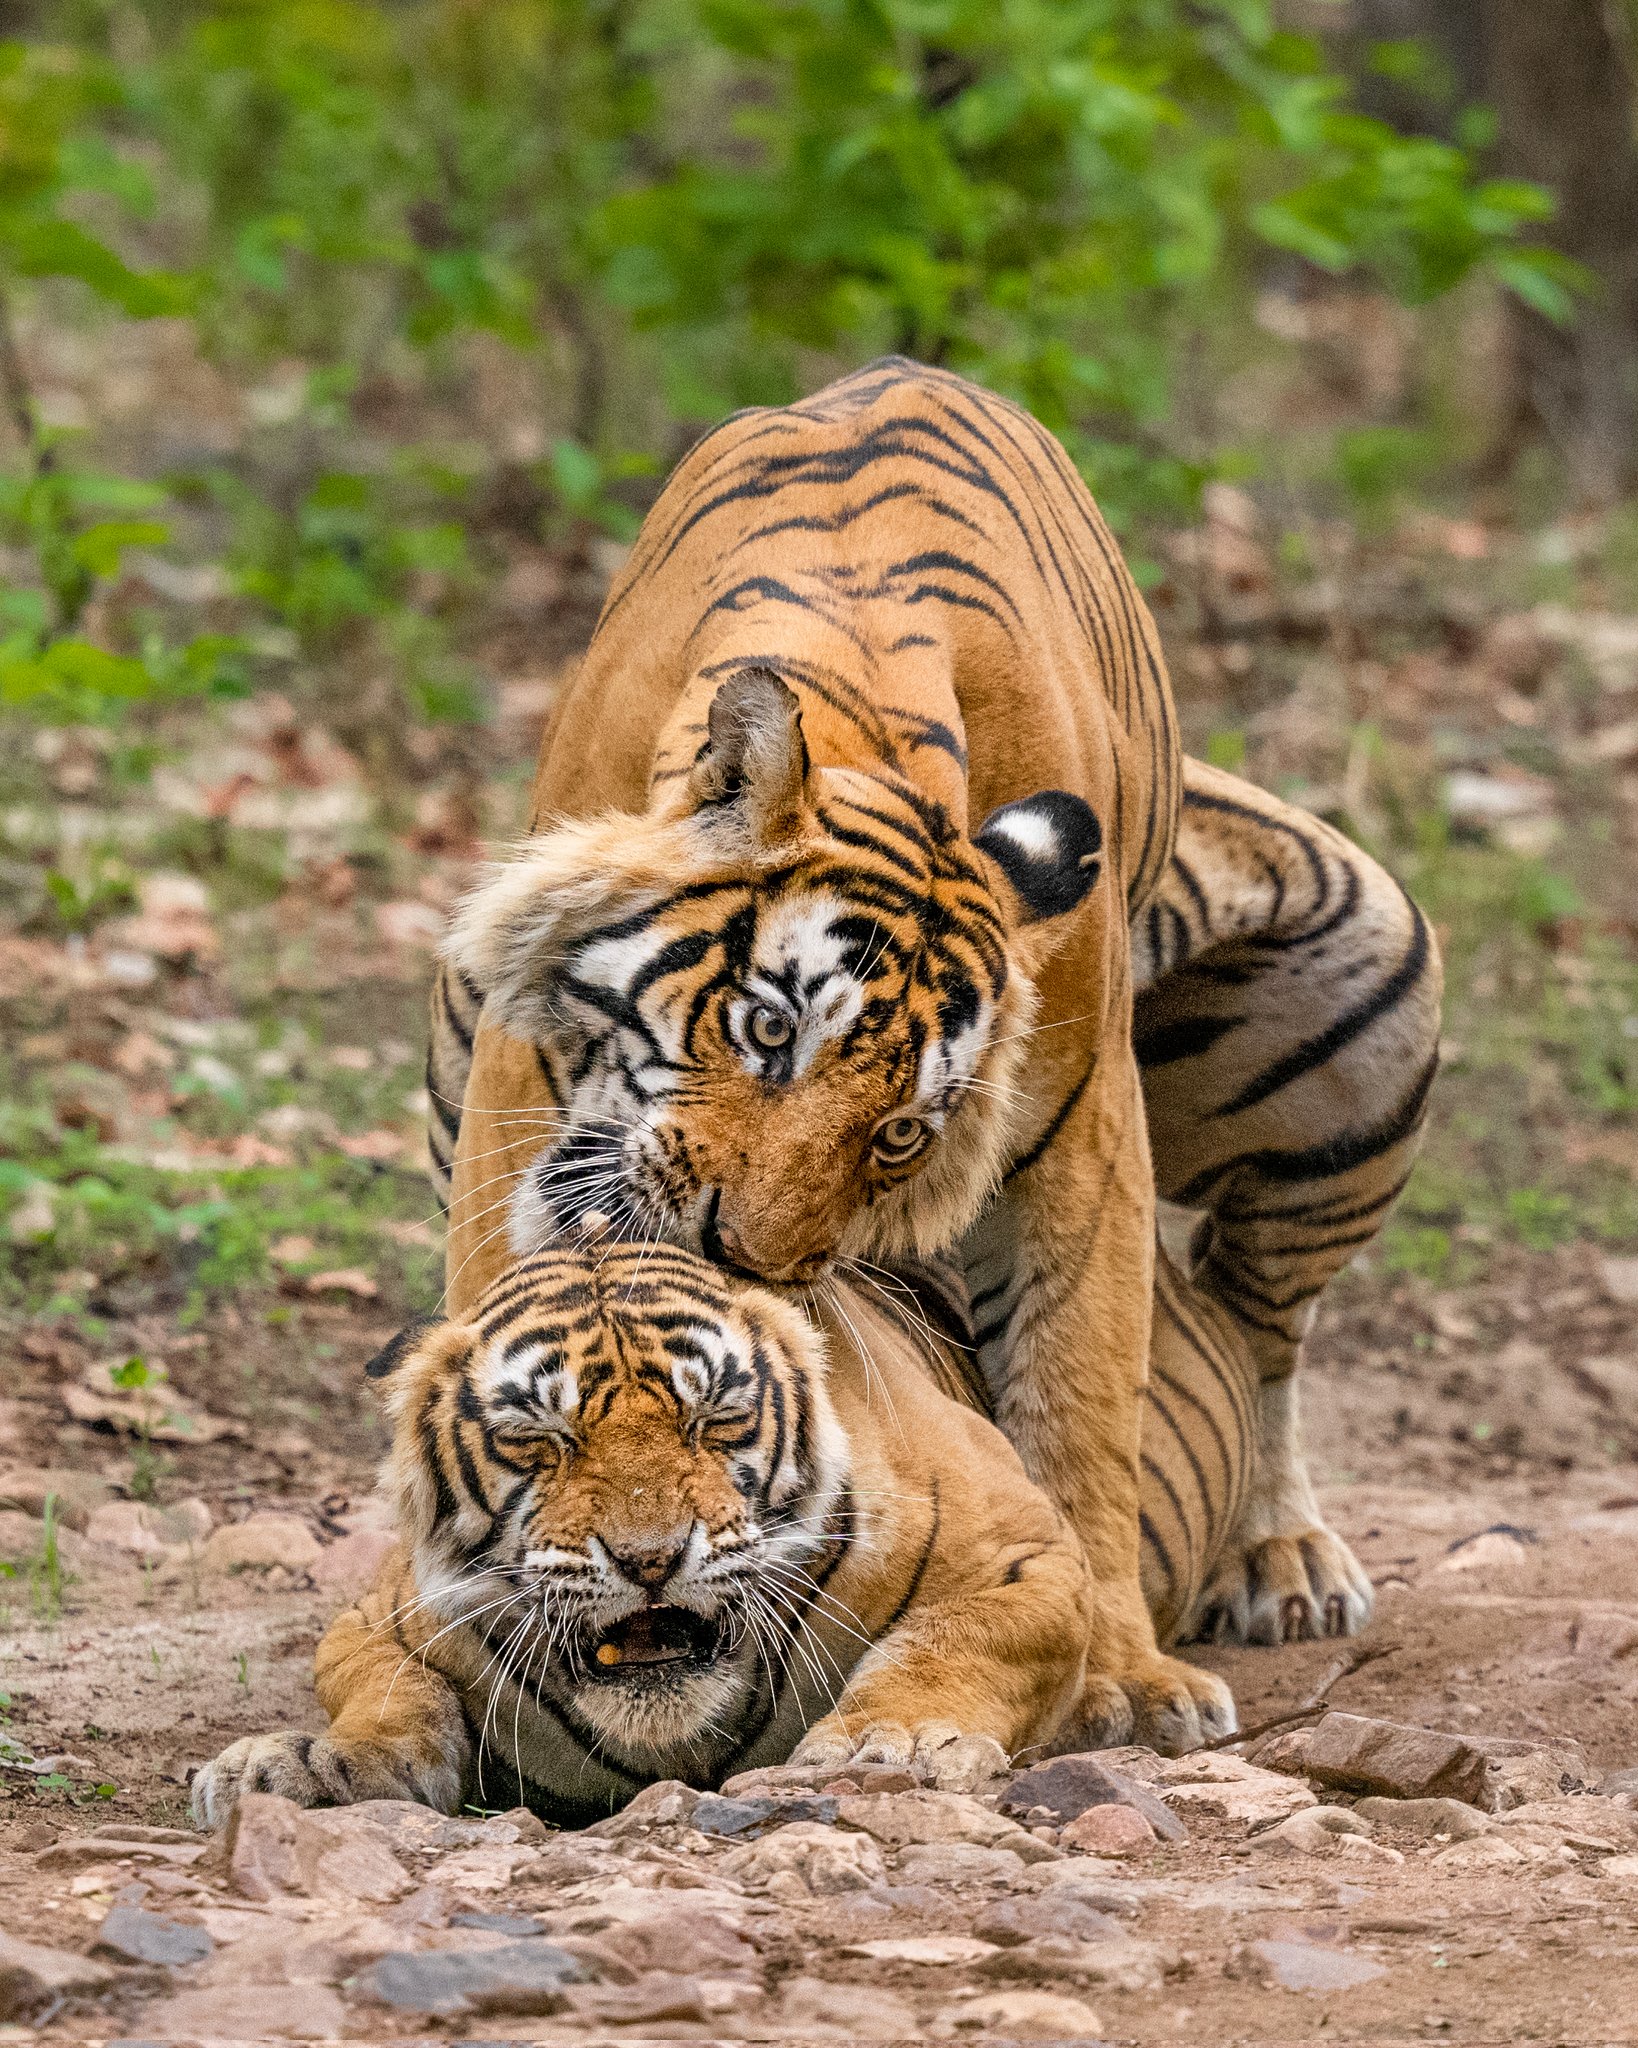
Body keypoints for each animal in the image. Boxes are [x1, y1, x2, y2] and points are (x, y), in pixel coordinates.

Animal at [193, 1227, 1264, 1830]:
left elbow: (953, 1642)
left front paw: (896, 1744)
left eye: (713, 1422)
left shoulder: (1028, 1559)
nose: (649, 1560)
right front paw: (304, 1767)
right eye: (540, 1440)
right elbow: (392, 1695)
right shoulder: (375, 1617)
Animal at [429, 357, 1440, 1749]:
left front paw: (1122, 1676)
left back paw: (1280, 1556)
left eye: (901, 1131)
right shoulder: (516, 1080)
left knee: (1258, 1320)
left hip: (1372, 1013)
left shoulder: (1081, 1126)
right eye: (767, 1026)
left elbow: (1079, 1400)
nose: (750, 1259)